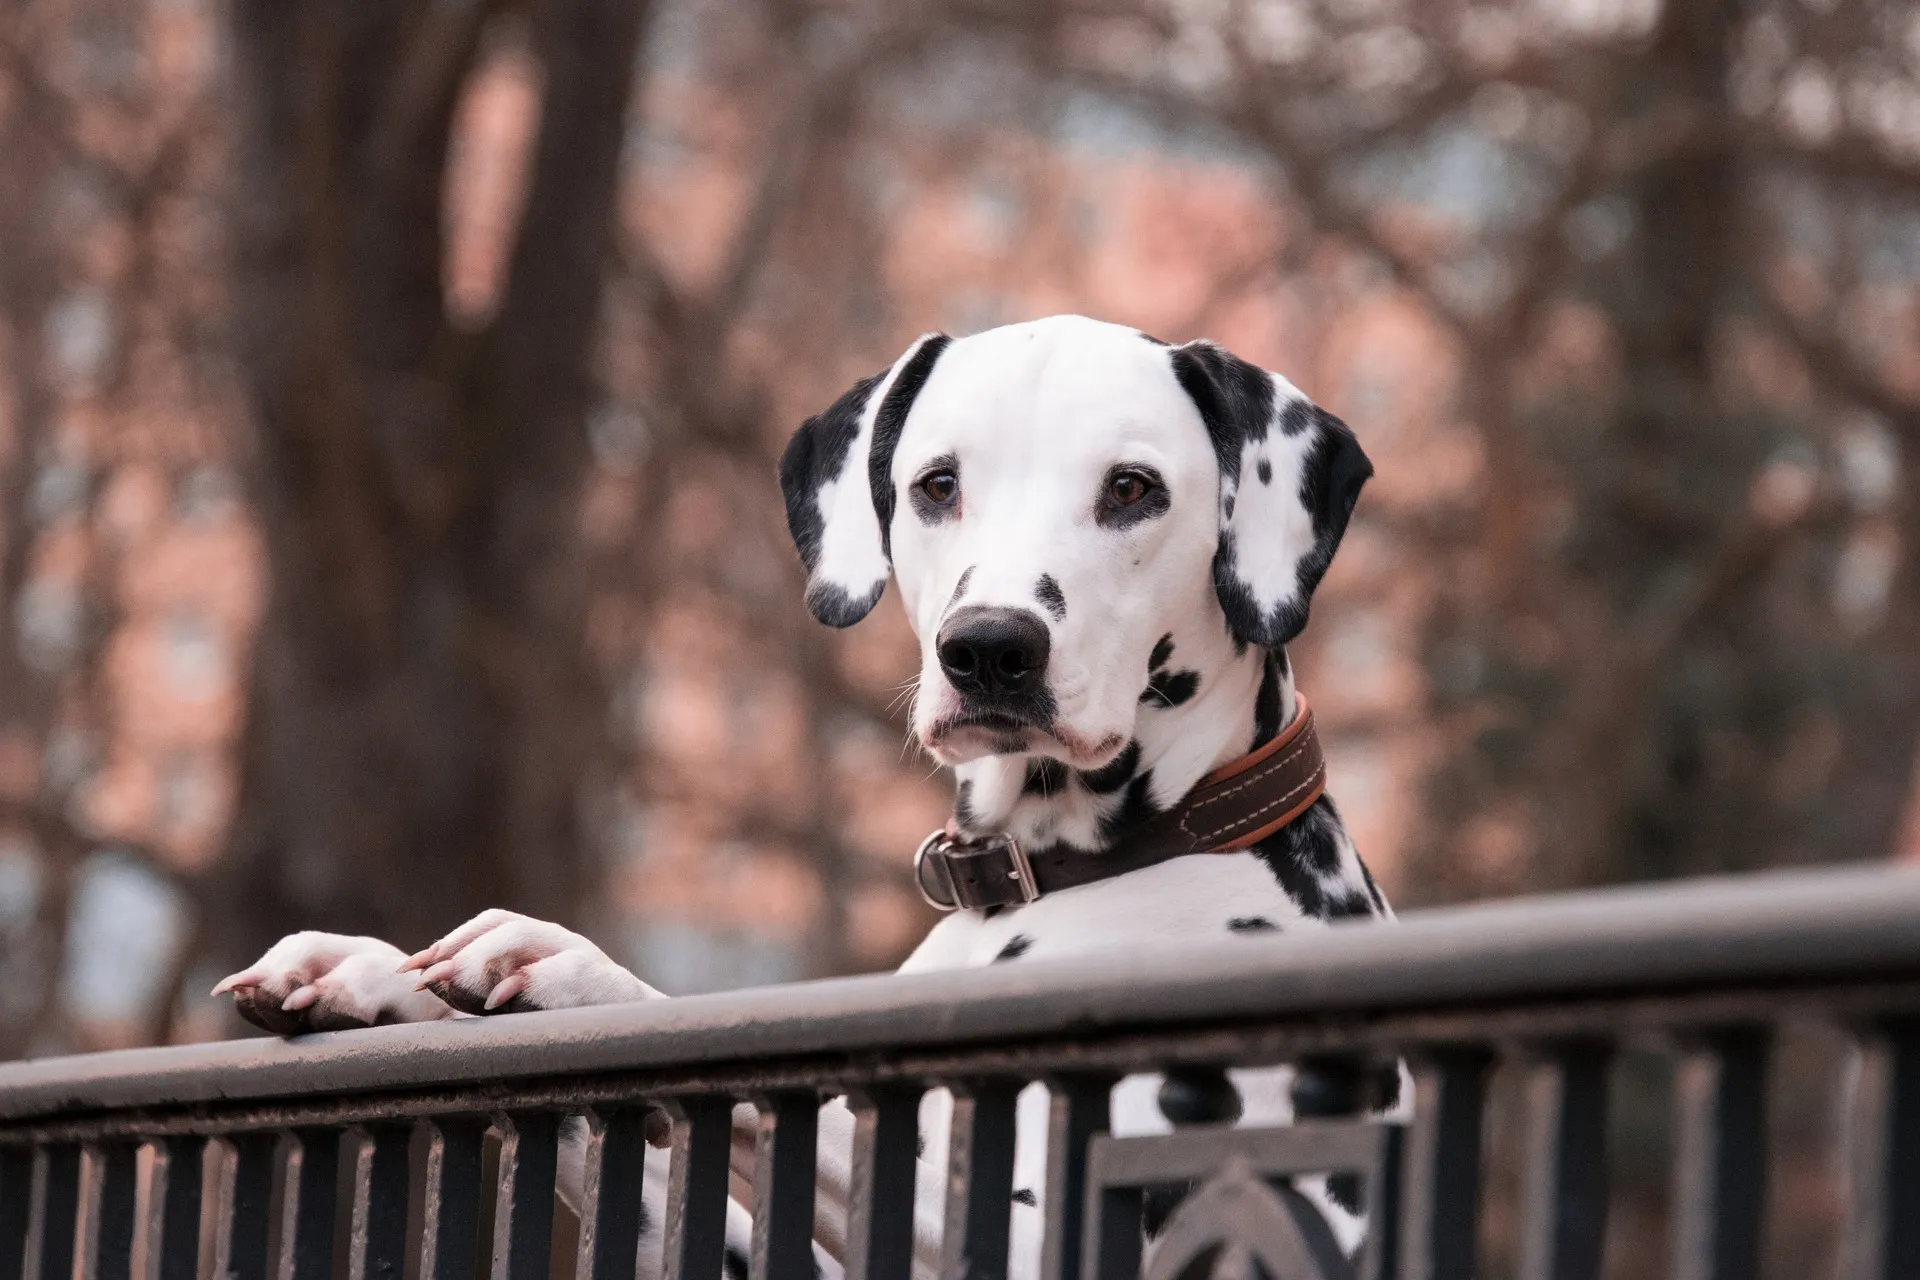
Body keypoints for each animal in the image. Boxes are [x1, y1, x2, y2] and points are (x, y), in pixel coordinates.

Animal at [217, 314, 1397, 1274]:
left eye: (1132, 489)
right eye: (936, 484)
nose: (990, 649)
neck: (1047, 876)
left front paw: (573, 968)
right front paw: (374, 974)